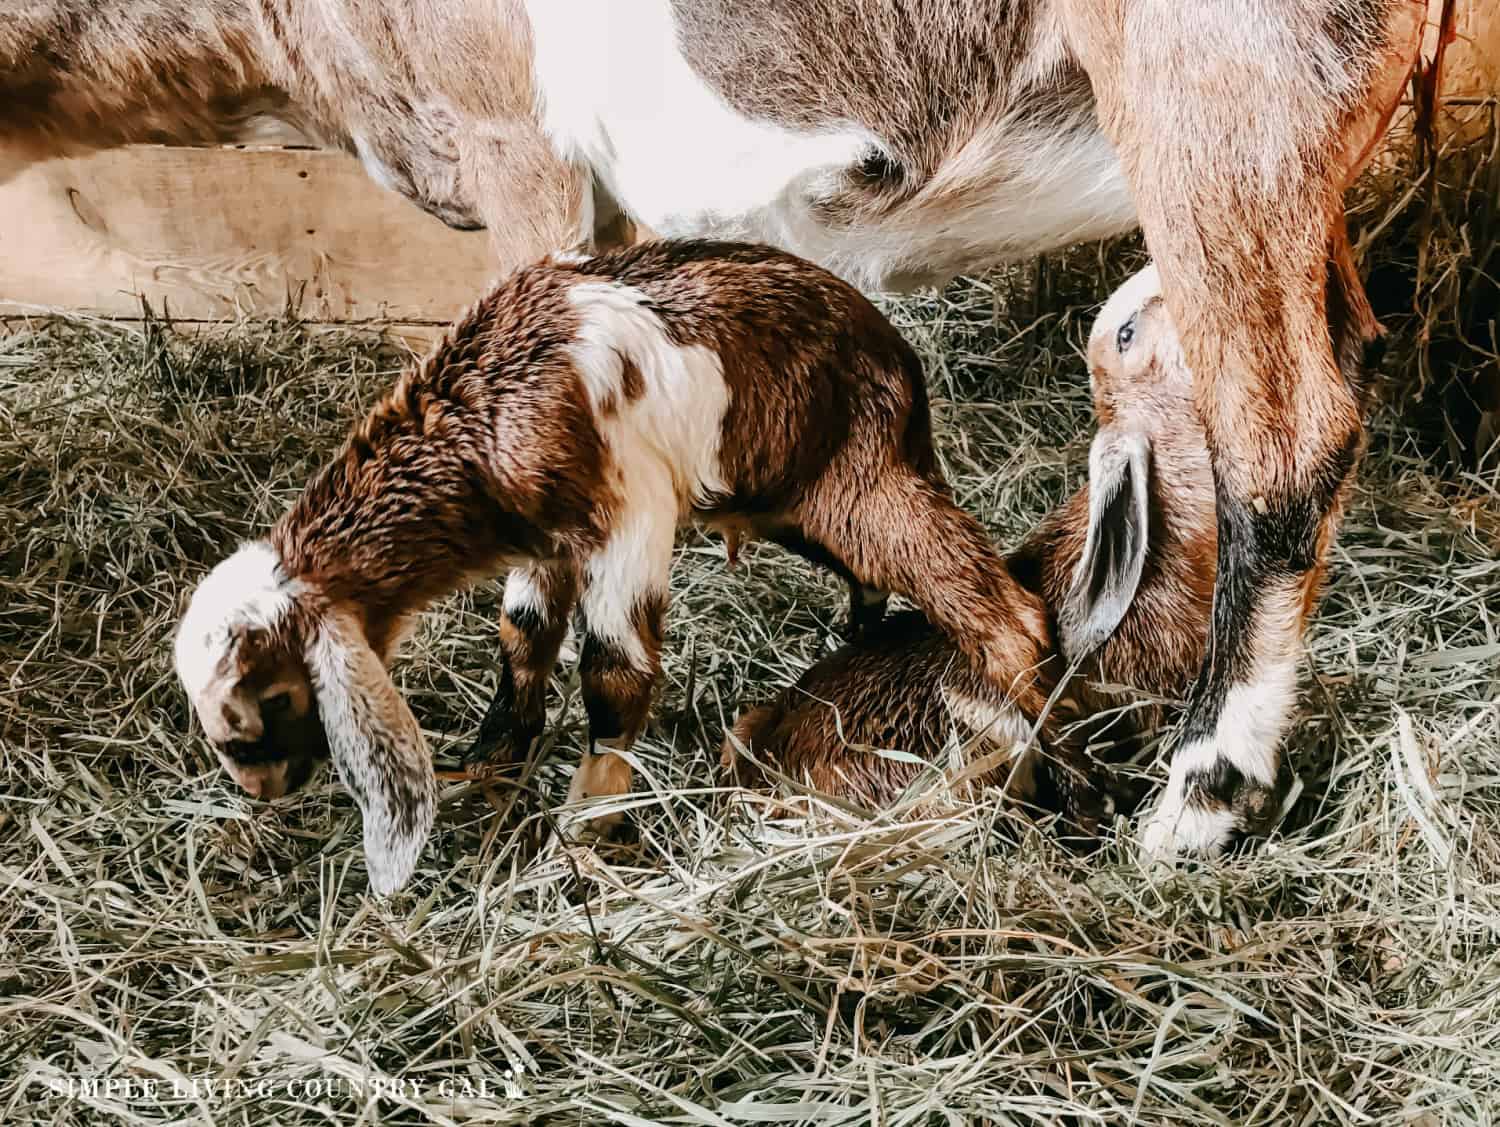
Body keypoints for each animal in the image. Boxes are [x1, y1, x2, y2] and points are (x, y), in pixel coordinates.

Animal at [173, 240, 1051, 894]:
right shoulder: (547, 545)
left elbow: (613, 674)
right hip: (797, 503)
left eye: (274, 697)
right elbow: (522, 637)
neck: (484, 414)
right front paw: (489, 767)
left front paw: (584, 833)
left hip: (863, 485)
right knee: (878, 588)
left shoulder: (630, 518)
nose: (259, 788)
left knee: (1000, 608)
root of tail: (902, 360)